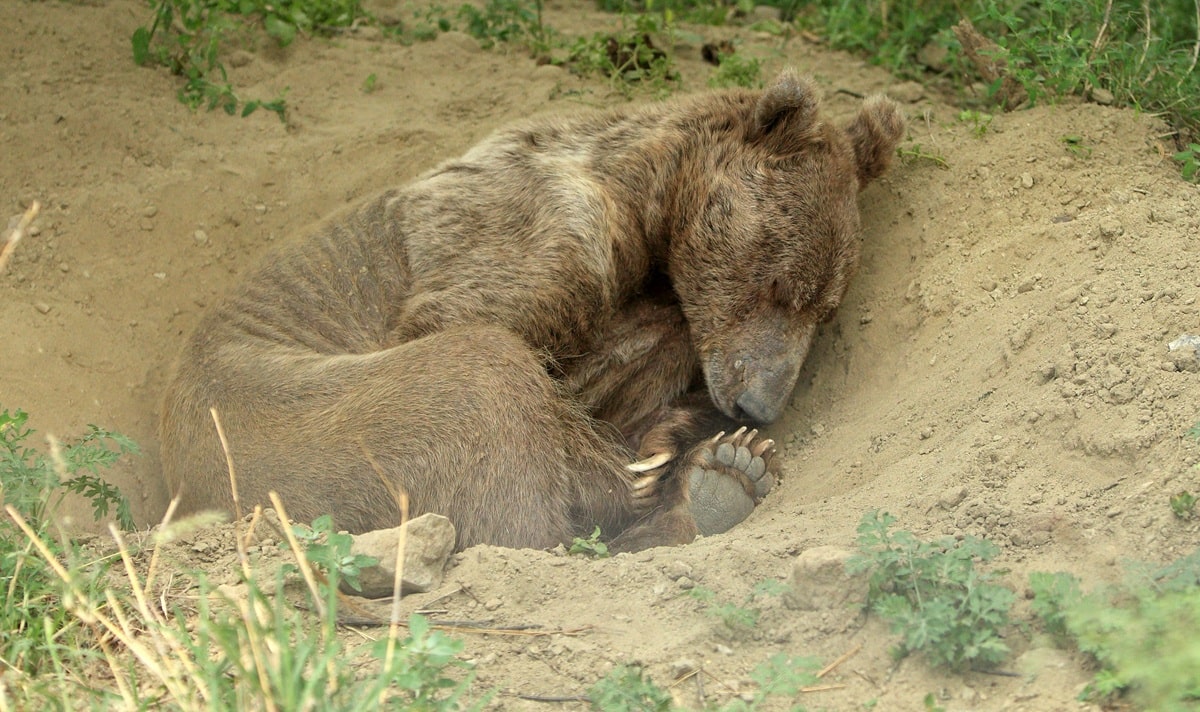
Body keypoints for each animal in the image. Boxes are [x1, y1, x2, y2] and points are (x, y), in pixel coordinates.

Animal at [158, 70, 905, 552]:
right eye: (779, 284)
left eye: (826, 309)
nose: (760, 404)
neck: (649, 228)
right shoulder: (530, 230)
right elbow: (482, 328)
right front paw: (647, 458)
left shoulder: (658, 324)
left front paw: (678, 431)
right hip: (278, 422)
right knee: (480, 382)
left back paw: (719, 479)